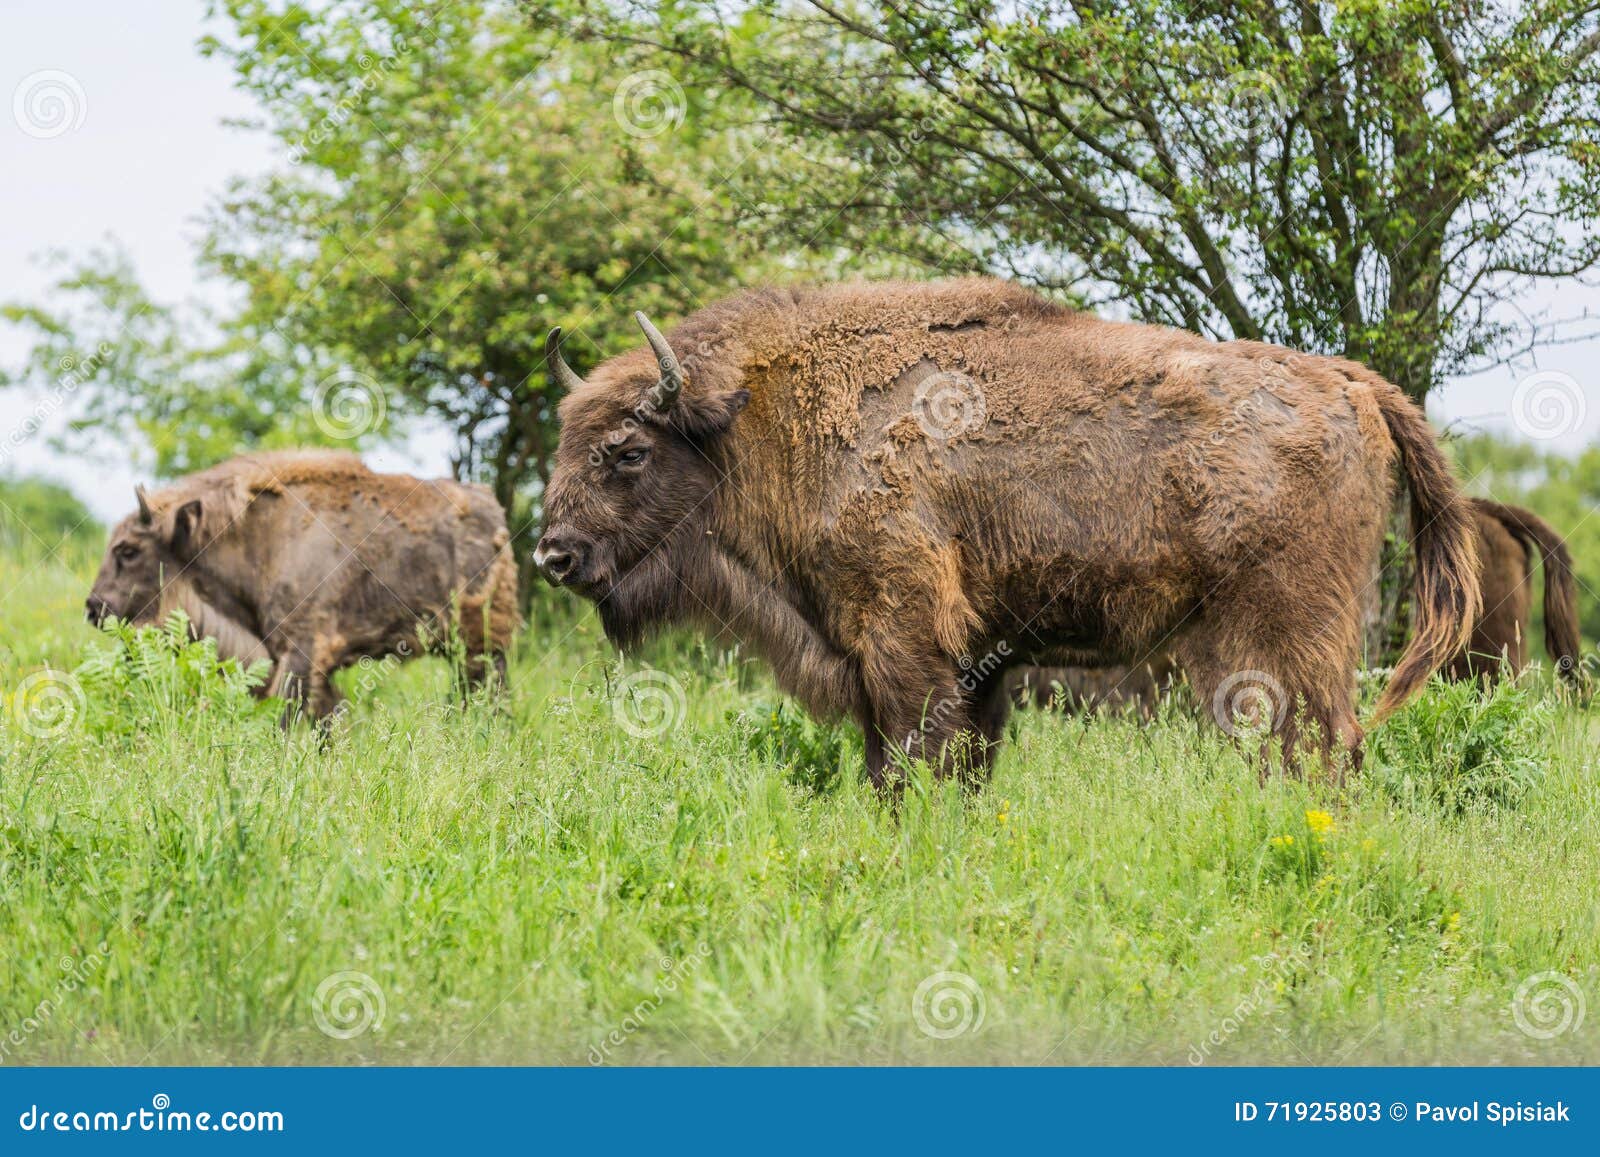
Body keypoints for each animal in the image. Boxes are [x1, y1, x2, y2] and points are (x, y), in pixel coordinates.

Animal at [86, 450, 519, 717]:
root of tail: (495, 512)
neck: (258, 537)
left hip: (481, 647)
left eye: (128, 550)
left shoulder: (302, 655)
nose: (94, 607)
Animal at [535, 279, 1480, 787]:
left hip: (1285, 636)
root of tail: (1350, 383)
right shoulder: (970, 661)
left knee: (1315, 743)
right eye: (565, 442)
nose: (553, 554)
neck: (758, 420)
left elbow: (911, 762)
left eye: (626, 450)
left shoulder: (900, 641)